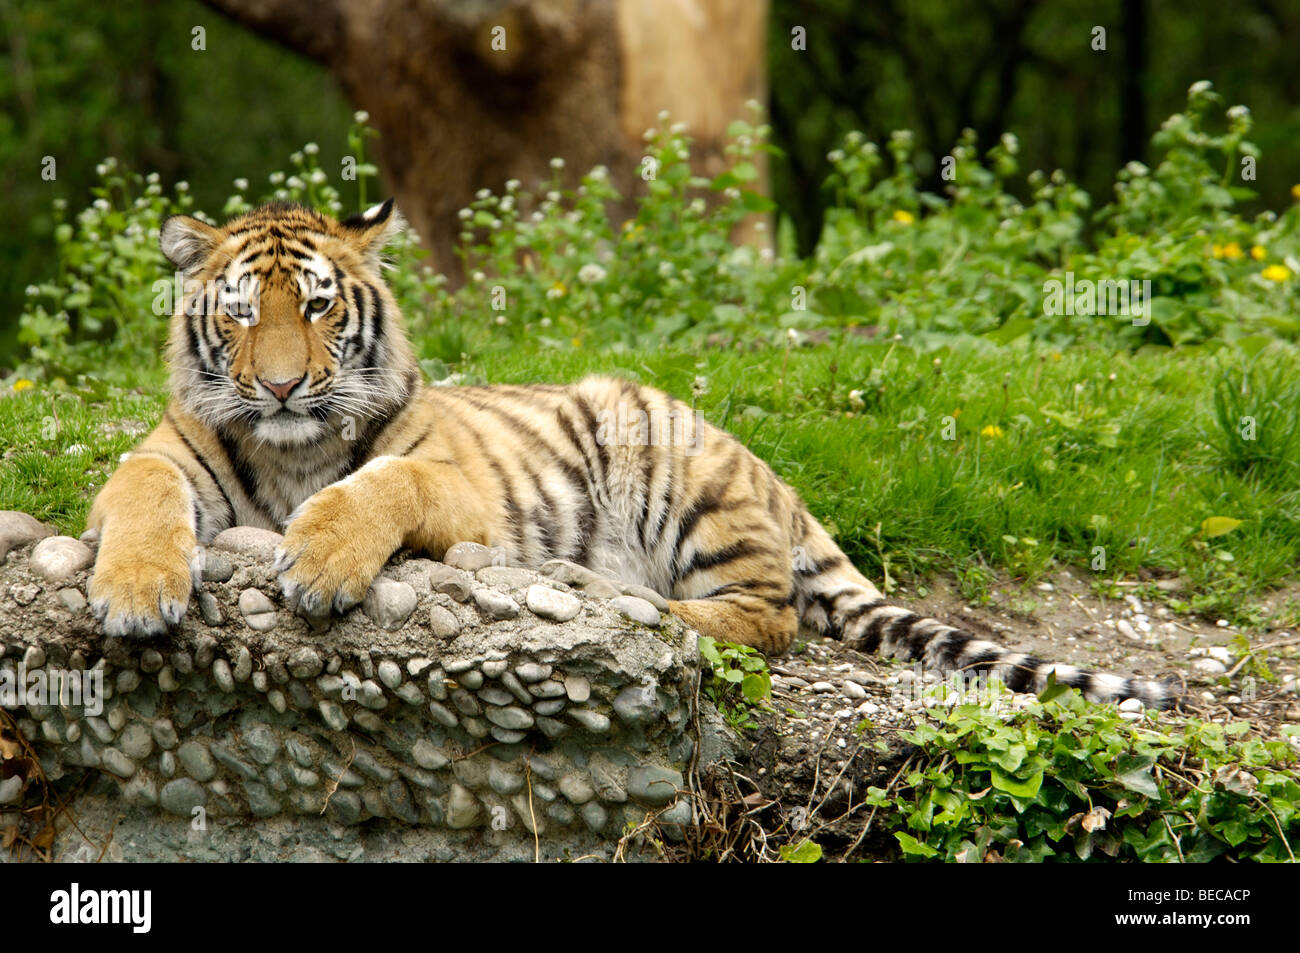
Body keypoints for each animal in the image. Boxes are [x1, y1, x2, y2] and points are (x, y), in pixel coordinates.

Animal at [85, 199, 1175, 709]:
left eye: (314, 307)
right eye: (240, 313)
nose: (276, 387)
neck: (296, 447)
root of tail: (771, 473)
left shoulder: (464, 489)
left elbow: (387, 481)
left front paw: (317, 560)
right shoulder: (164, 459)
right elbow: (141, 492)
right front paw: (136, 592)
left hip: (671, 467)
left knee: (762, 616)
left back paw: (614, 596)